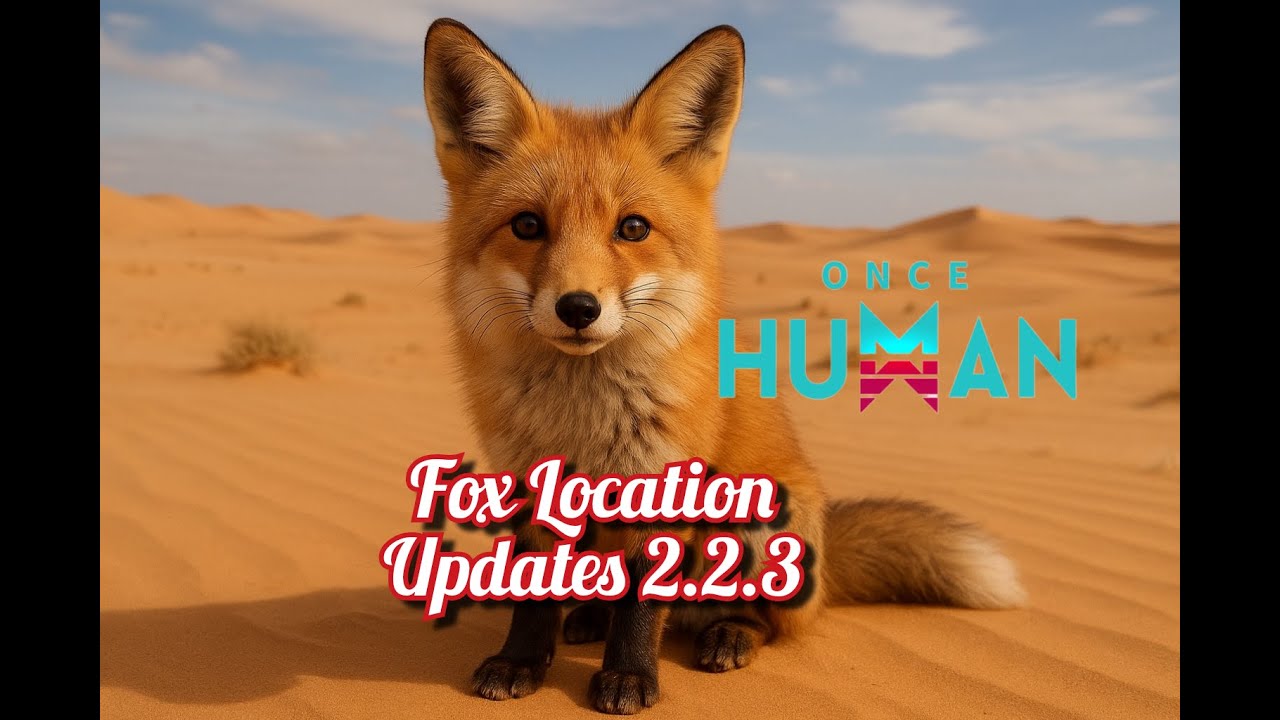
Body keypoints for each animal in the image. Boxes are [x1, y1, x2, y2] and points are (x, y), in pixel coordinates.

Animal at [420, 18, 1027, 715]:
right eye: (526, 225)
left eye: (633, 228)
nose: (578, 308)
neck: (581, 415)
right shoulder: (527, 485)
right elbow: (534, 595)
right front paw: (522, 660)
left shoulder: (661, 483)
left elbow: (641, 607)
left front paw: (629, 678)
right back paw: (591, 619)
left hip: (760, 523)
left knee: (764, 622)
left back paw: (729, 634)